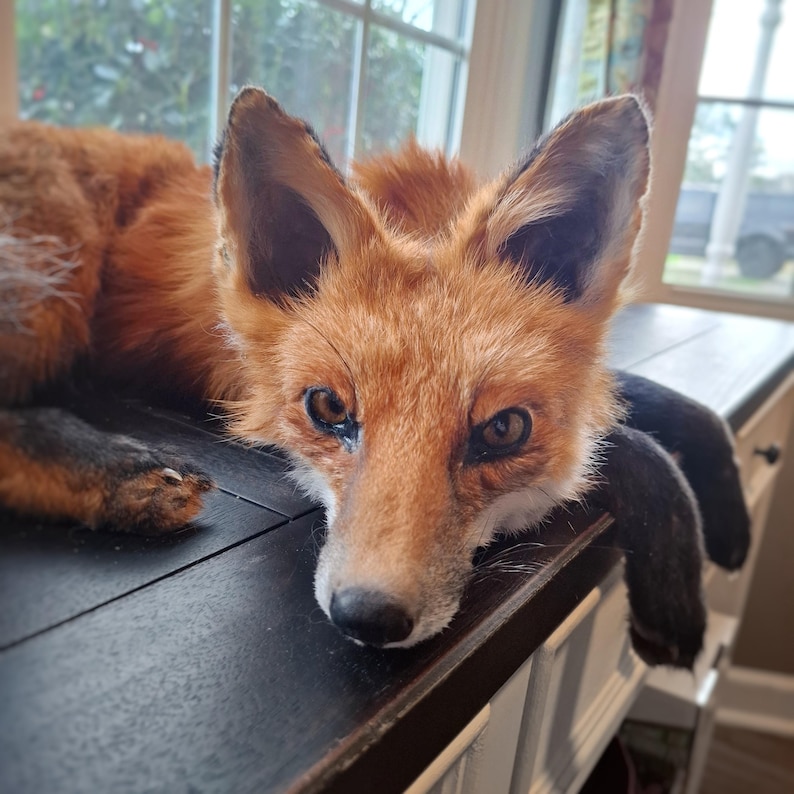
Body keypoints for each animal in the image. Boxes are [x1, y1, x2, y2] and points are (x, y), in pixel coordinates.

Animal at [0, 87, 749, 666]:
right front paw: (679, 587)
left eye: (504, 429)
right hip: (60, 274)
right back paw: (117, 472)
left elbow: (654, 402)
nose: (368, 617)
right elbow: (622, 442)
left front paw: (731, 517)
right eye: (329, 408)